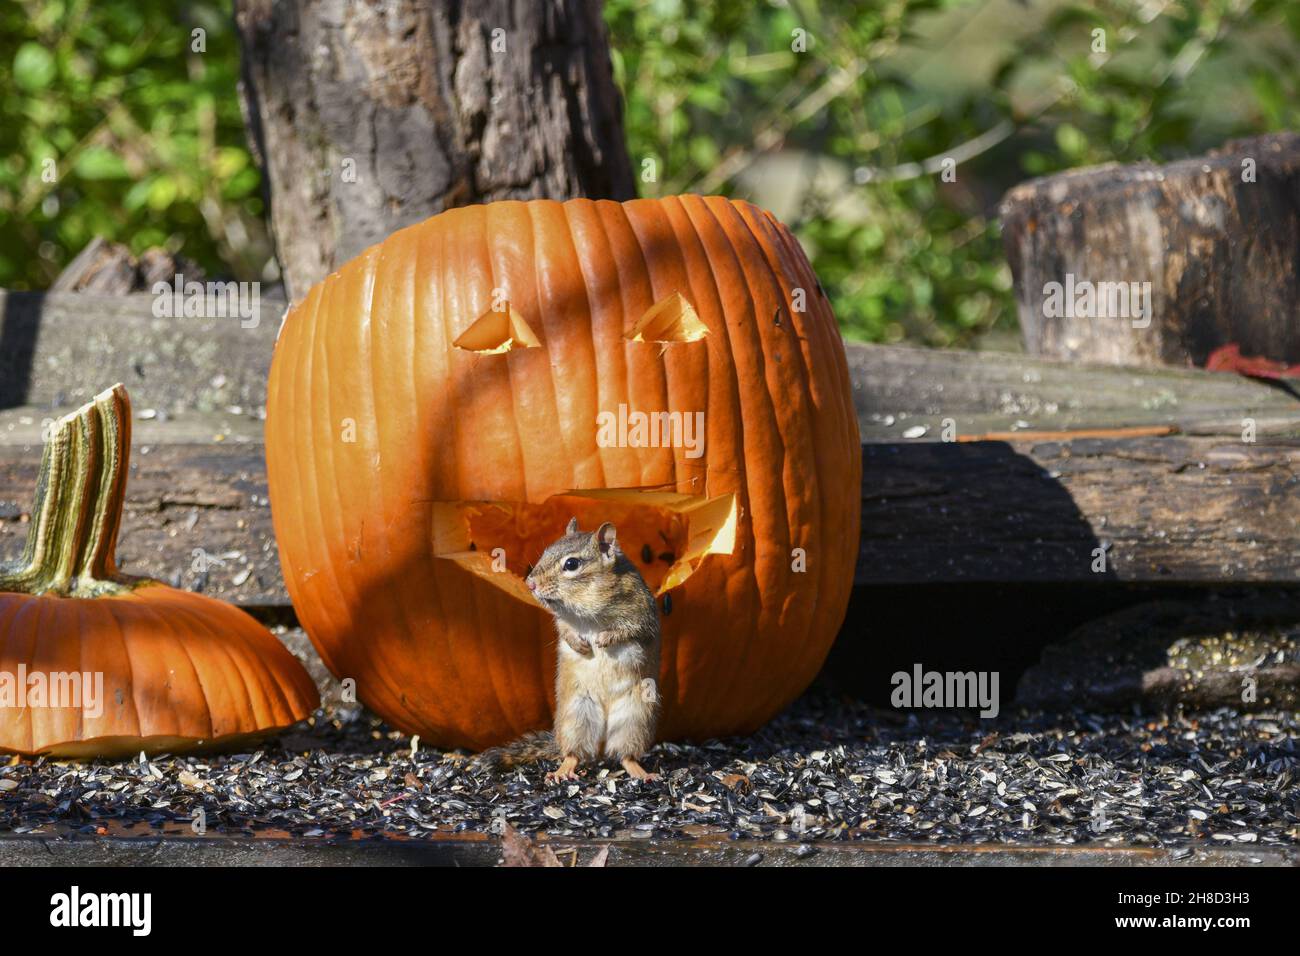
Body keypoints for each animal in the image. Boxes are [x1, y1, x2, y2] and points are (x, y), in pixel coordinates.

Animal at [478, 517, 662, 782]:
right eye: (546, 551)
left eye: (571, 564)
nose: (530, 583)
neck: (588, 602)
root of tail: (601, 744)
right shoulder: (563, 621)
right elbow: (564, 630)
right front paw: (579, 643)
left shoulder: (642, 614)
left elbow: (629, 631)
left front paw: (604, 639)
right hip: (576, 717)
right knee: (574, 753)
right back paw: (562, 770)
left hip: (635, 720)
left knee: (626, 755)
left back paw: (641, 772)